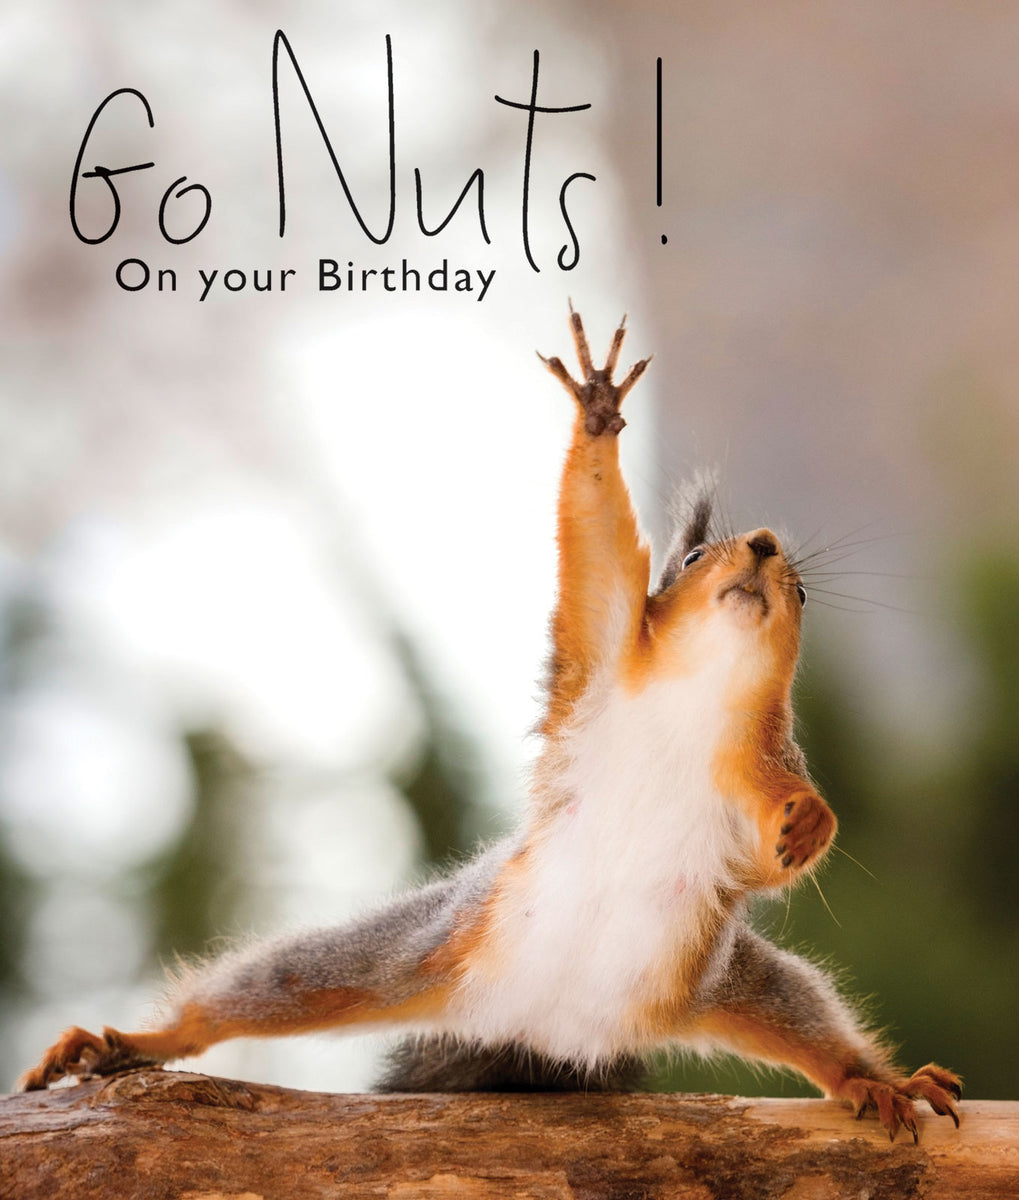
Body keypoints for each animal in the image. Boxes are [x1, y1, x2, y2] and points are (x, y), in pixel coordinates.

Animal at [18, 309, 961, 1142]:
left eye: (800, 592)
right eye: (694, 557)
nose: (764, 546)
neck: (697, 691)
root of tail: (546, 1030)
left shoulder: (755, 760)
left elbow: (771, 846)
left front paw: (809, 824)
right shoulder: (598, 651)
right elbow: (598, 549)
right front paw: (596, 408)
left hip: (720, 979)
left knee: (808, 1020)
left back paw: (872, 1081)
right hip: (416, 950)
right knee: (269, 987)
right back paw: (132, 1042)